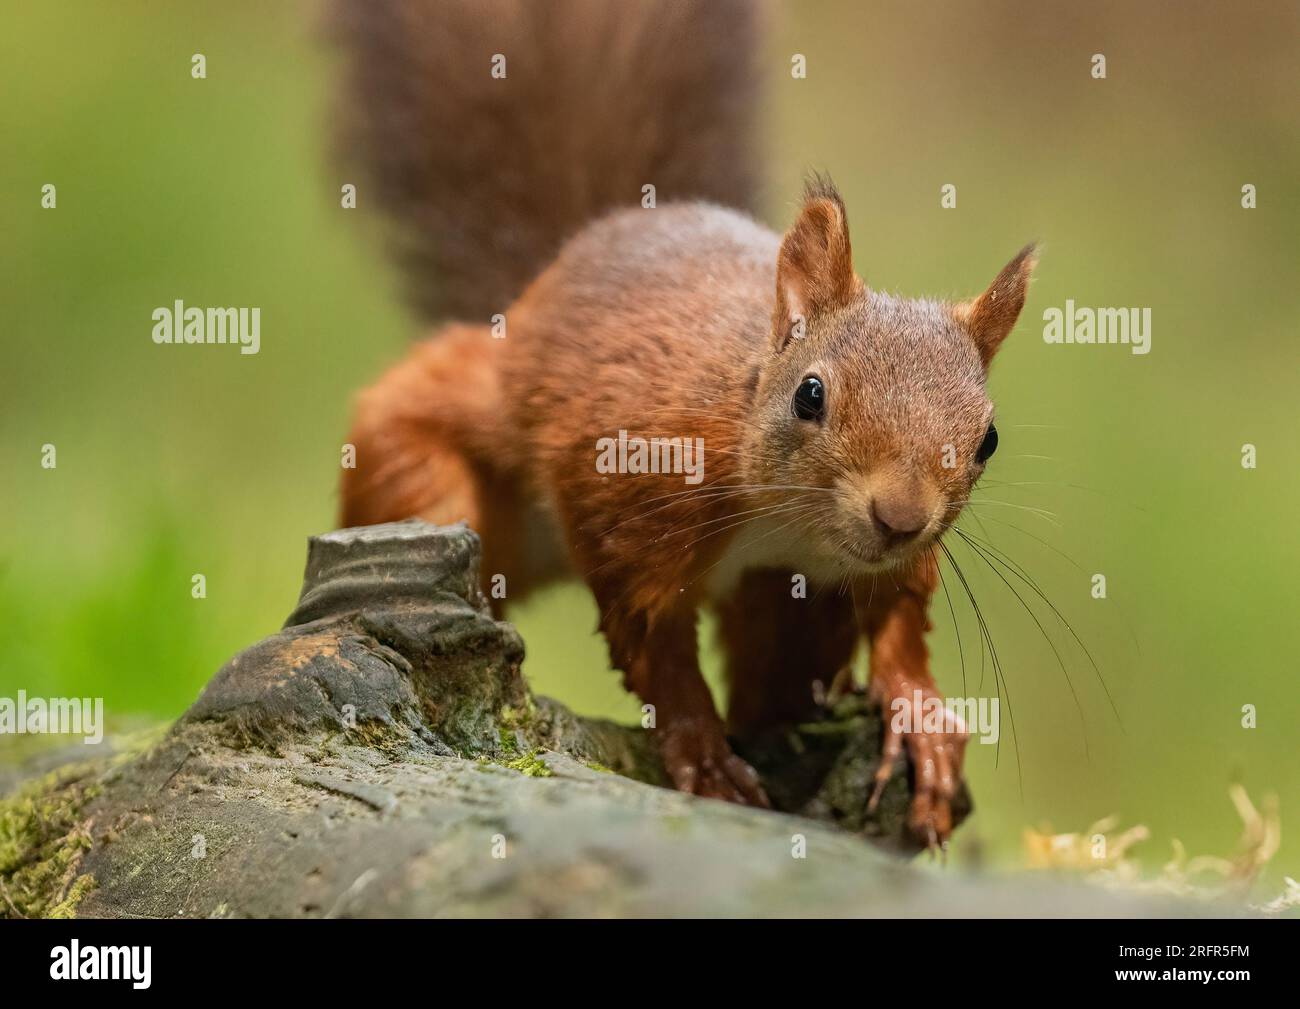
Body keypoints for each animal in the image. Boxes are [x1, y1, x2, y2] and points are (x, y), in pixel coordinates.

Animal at [331, 0, 1036, 845]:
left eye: (988, 439)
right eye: (810, 395)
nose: (899, 516)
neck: (786, 517)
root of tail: (561, 263)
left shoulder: (872, 567)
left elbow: (901, 618)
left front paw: (920, 720)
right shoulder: (631, 497)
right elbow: (653, 643)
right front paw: (704, 757)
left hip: (787, 602)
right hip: (456, 473)